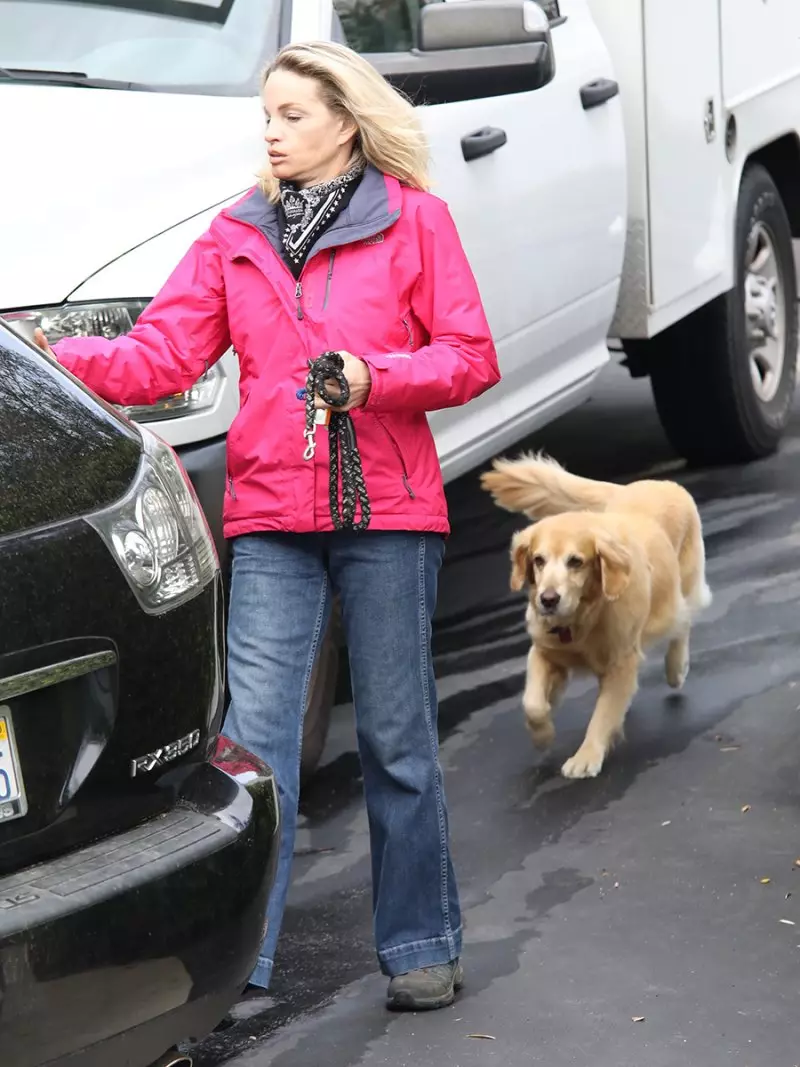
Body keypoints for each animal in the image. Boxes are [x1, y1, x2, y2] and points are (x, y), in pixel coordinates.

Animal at [480, 454, 712, 781]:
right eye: (538, 560)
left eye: (576, 562)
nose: (547, 600)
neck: (580, 620)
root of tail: (659, 482)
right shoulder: (543, 651)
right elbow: (532, 703)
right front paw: (543, 733)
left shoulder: (621, 662)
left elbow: (602, 714)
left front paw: (585, 757)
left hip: (686, 586)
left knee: (683, 624)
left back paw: (676, 668)